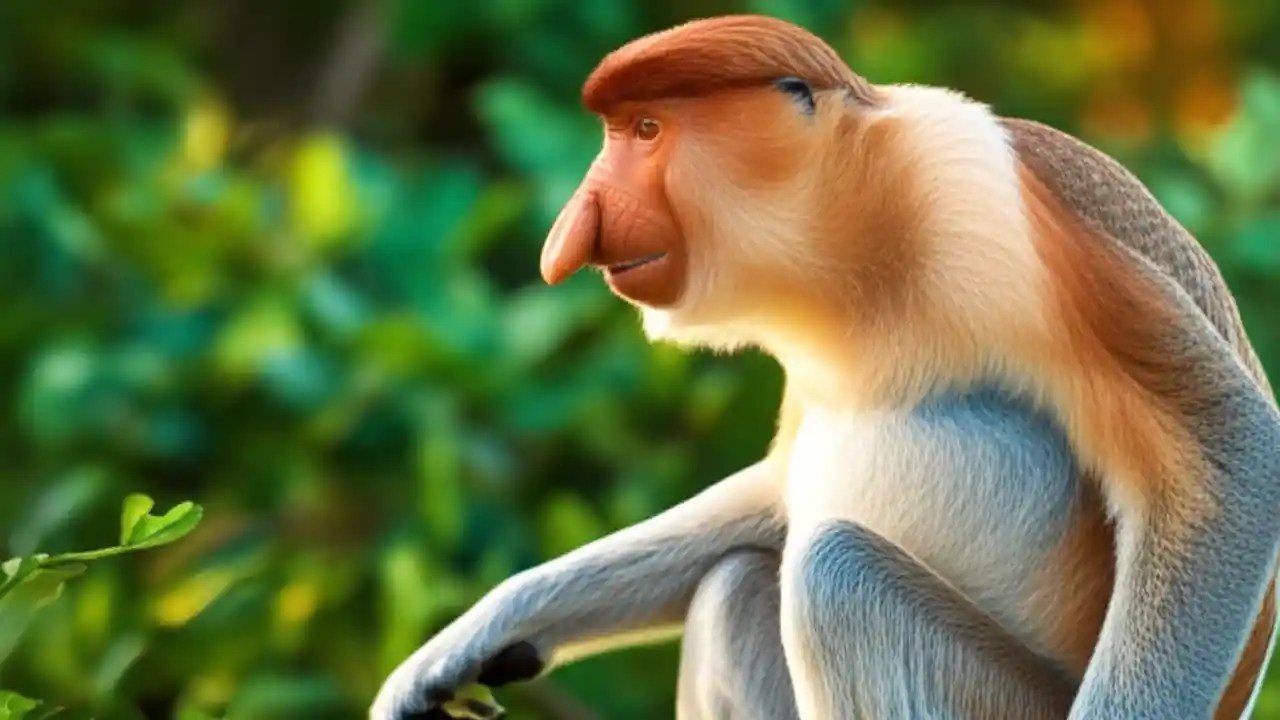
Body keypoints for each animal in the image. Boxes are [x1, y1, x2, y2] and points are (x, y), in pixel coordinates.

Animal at [371, 14, 1280, 720]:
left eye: (647, 131)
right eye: (618, 133)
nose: (573, 230)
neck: (857, 228)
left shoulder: (997, 213)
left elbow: (1228, 459)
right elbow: (777, 492)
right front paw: (466, 643)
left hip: (997, 698)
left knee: (833, 576)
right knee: (738, 585)